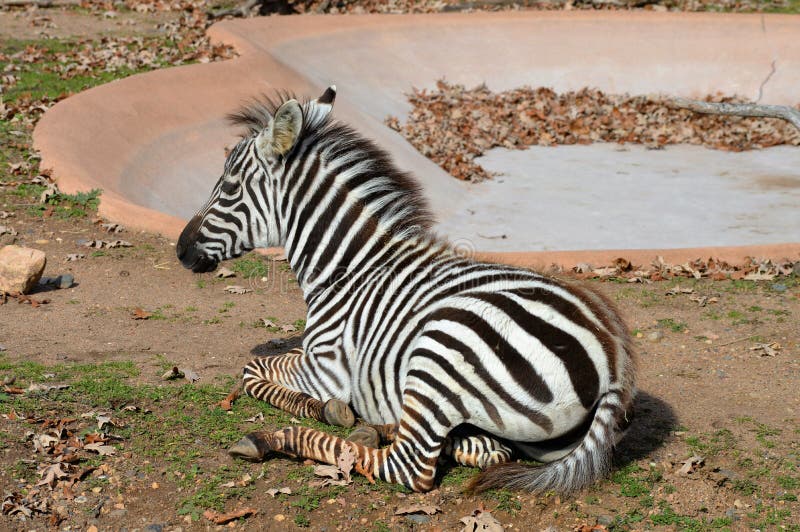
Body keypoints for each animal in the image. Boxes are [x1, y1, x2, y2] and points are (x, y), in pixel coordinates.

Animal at [176, 86, 637, 494]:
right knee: (483, 447)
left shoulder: (324, 368)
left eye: (229, 186)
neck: (350, 267)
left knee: (408, 467)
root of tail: (612, 359)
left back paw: (278, 438)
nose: (181, 249)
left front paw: (325, 408)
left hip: (442, 347)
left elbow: (253, 371)